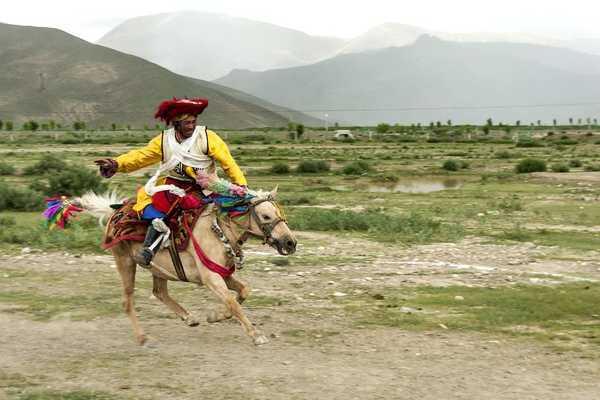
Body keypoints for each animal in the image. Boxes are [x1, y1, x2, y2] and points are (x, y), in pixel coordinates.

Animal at [76, 188, 296, 346]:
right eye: (265, 216)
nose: (291, 243)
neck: (219, 232)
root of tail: (115, 212)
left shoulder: (223, 275)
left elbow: (242, 292)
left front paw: (215, 316)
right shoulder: (211, 278)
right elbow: (233, 303)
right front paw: (256, 335)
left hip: (158, 268)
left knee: (159, 292)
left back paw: (189, 318)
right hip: (125, 262)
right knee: (128, 300)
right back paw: (143, 337)